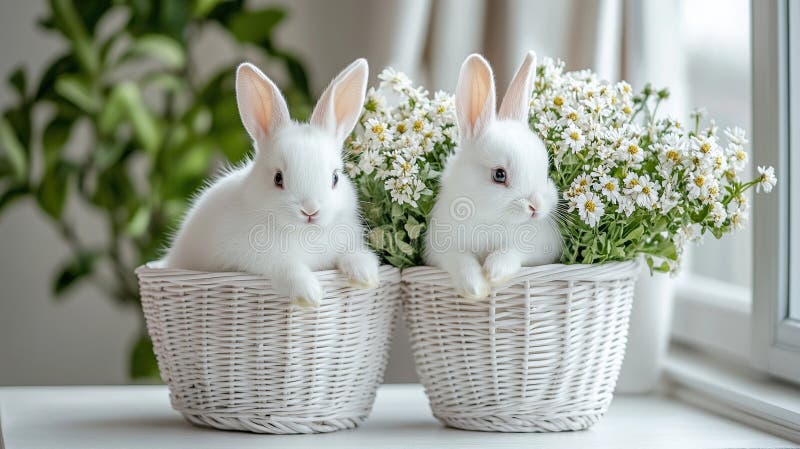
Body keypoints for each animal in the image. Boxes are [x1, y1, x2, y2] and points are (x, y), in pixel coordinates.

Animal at [166, 59, 380, 308]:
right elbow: (287, 268)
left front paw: (366, 275)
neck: (302, 233)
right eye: (278, 178)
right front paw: (310, 296)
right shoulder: (257, 258)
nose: (310, 210)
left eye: (335, 177)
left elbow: (353, 254)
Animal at [424, 52, 562, 300]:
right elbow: (461, 261)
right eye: (499, 175)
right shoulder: (440, 251)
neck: (492, 220)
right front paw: (476, 288)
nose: (535, 207)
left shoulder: (541, 248)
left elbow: (513, 251)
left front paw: (494, 271)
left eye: (546, 171)